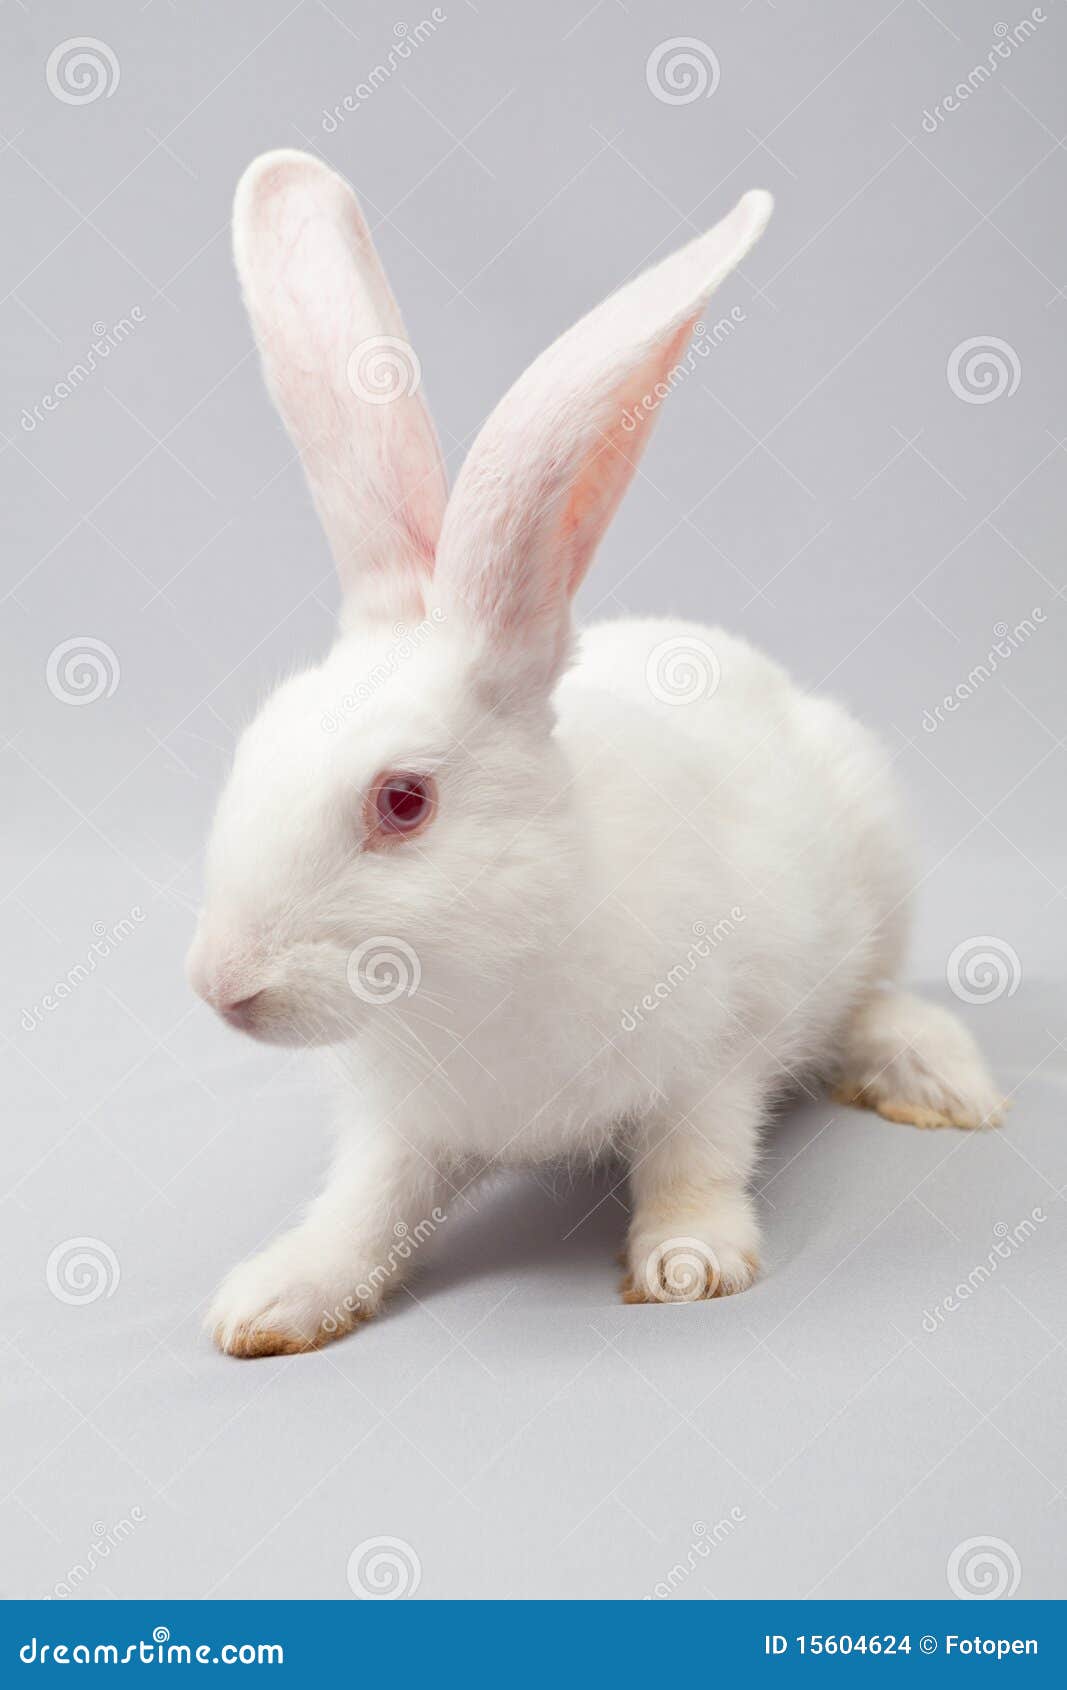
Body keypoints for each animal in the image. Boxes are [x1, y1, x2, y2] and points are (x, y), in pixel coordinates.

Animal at [188, 151, 1005, 1357]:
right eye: (251, 750)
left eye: (403, 801)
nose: (219, 986)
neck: (487, 972)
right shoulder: (404, 1127)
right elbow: (366, 1205)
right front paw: (270, 1303)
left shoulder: (713, 1055)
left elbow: (694, 1158)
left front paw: (687, 1265)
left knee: (870, 1004)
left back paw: (945, 1087)